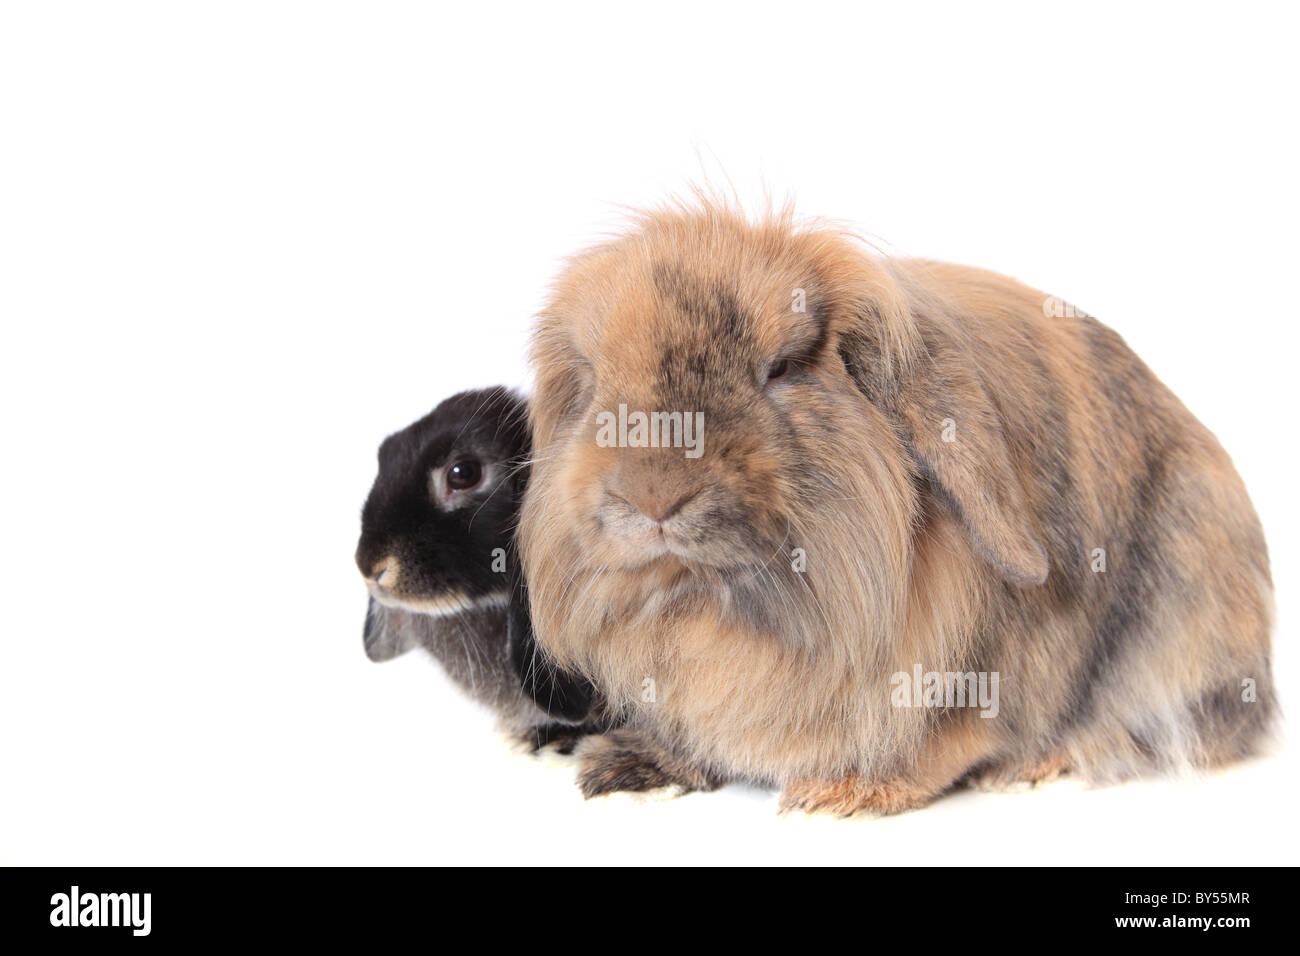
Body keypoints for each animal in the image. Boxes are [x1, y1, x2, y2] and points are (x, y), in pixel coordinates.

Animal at [518, 197, 1276, 814]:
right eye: (594, 380)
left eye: (781, 369)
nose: (653, 497)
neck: (717, 607)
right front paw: (626, 770)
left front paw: (843, 795)